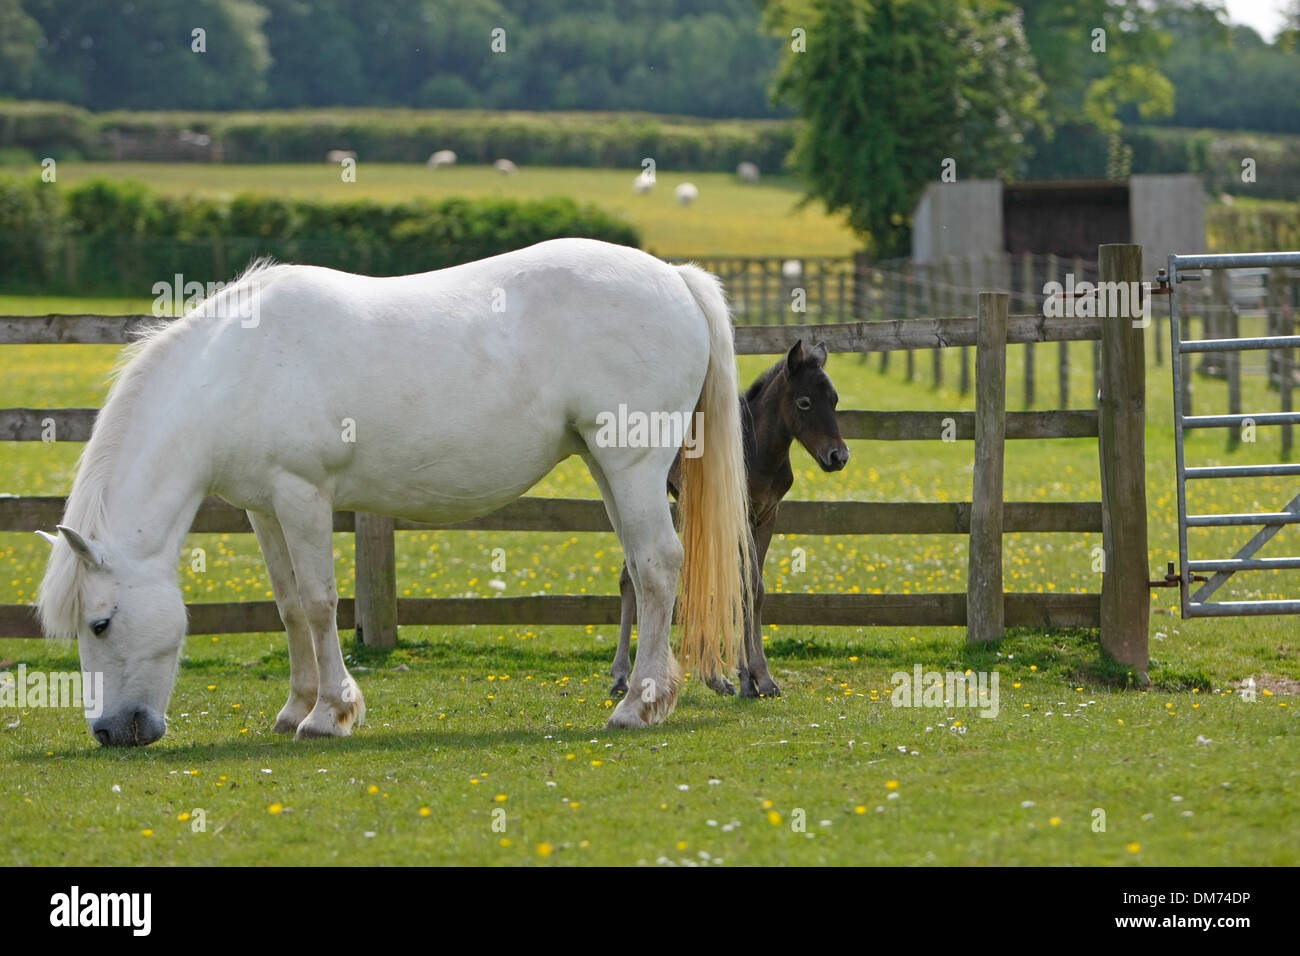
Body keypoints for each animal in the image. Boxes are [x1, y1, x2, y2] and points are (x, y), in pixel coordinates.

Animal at [35, 238, 753, 746]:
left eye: (100, 623)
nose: (110, 732)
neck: (235, 371)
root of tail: (676, 279)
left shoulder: (302, 496)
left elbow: (319, 602)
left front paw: (329, 714)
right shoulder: (264, 509)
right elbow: (288, 605)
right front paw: (295, 706)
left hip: (631, 462)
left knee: (658, 566)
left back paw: (638, 705)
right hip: (608, 466)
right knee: (643, 565)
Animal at [610, 340, 848, 699]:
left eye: (834, 400)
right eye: (804, 402)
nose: (838, 456)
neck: (758, 450)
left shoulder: (767, 516)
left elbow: (751, 589)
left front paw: (753, 677)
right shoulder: (740, 518)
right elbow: (742, 587)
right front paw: (754, 676)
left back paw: (715, 680)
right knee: (630, 577)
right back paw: (622, 676)